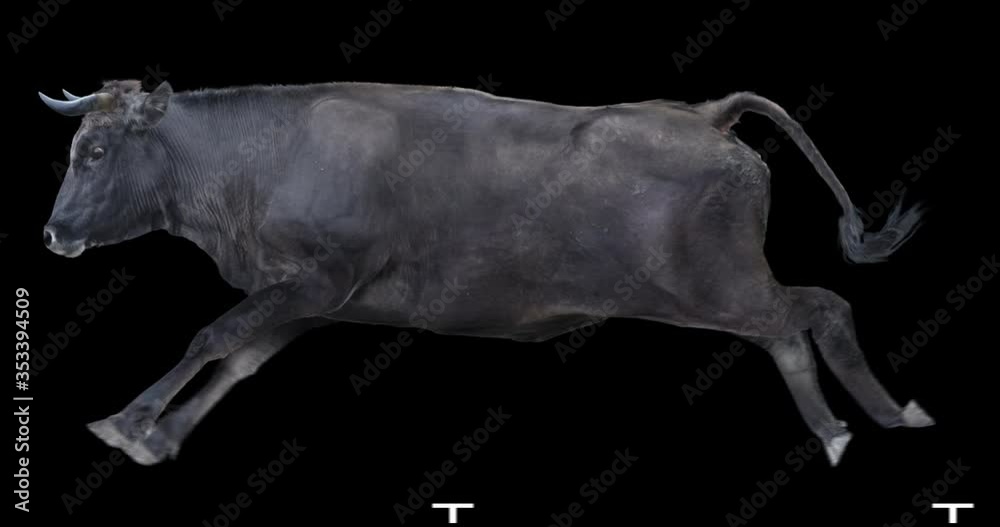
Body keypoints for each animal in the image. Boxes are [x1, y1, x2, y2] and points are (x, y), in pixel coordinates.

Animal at [38, 79, 933, 467]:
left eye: (95, 150)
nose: (53, 233)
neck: (263, 160)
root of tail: (702, 112)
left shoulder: (312, 281)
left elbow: (212, 335)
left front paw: (129, 419)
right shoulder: (317, 300)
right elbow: (241, 358)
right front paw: (166, 432)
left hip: (714, 285)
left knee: (807, 316)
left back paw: (865, 418)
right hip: (728, 285)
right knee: (809, 317)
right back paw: (865, 420)